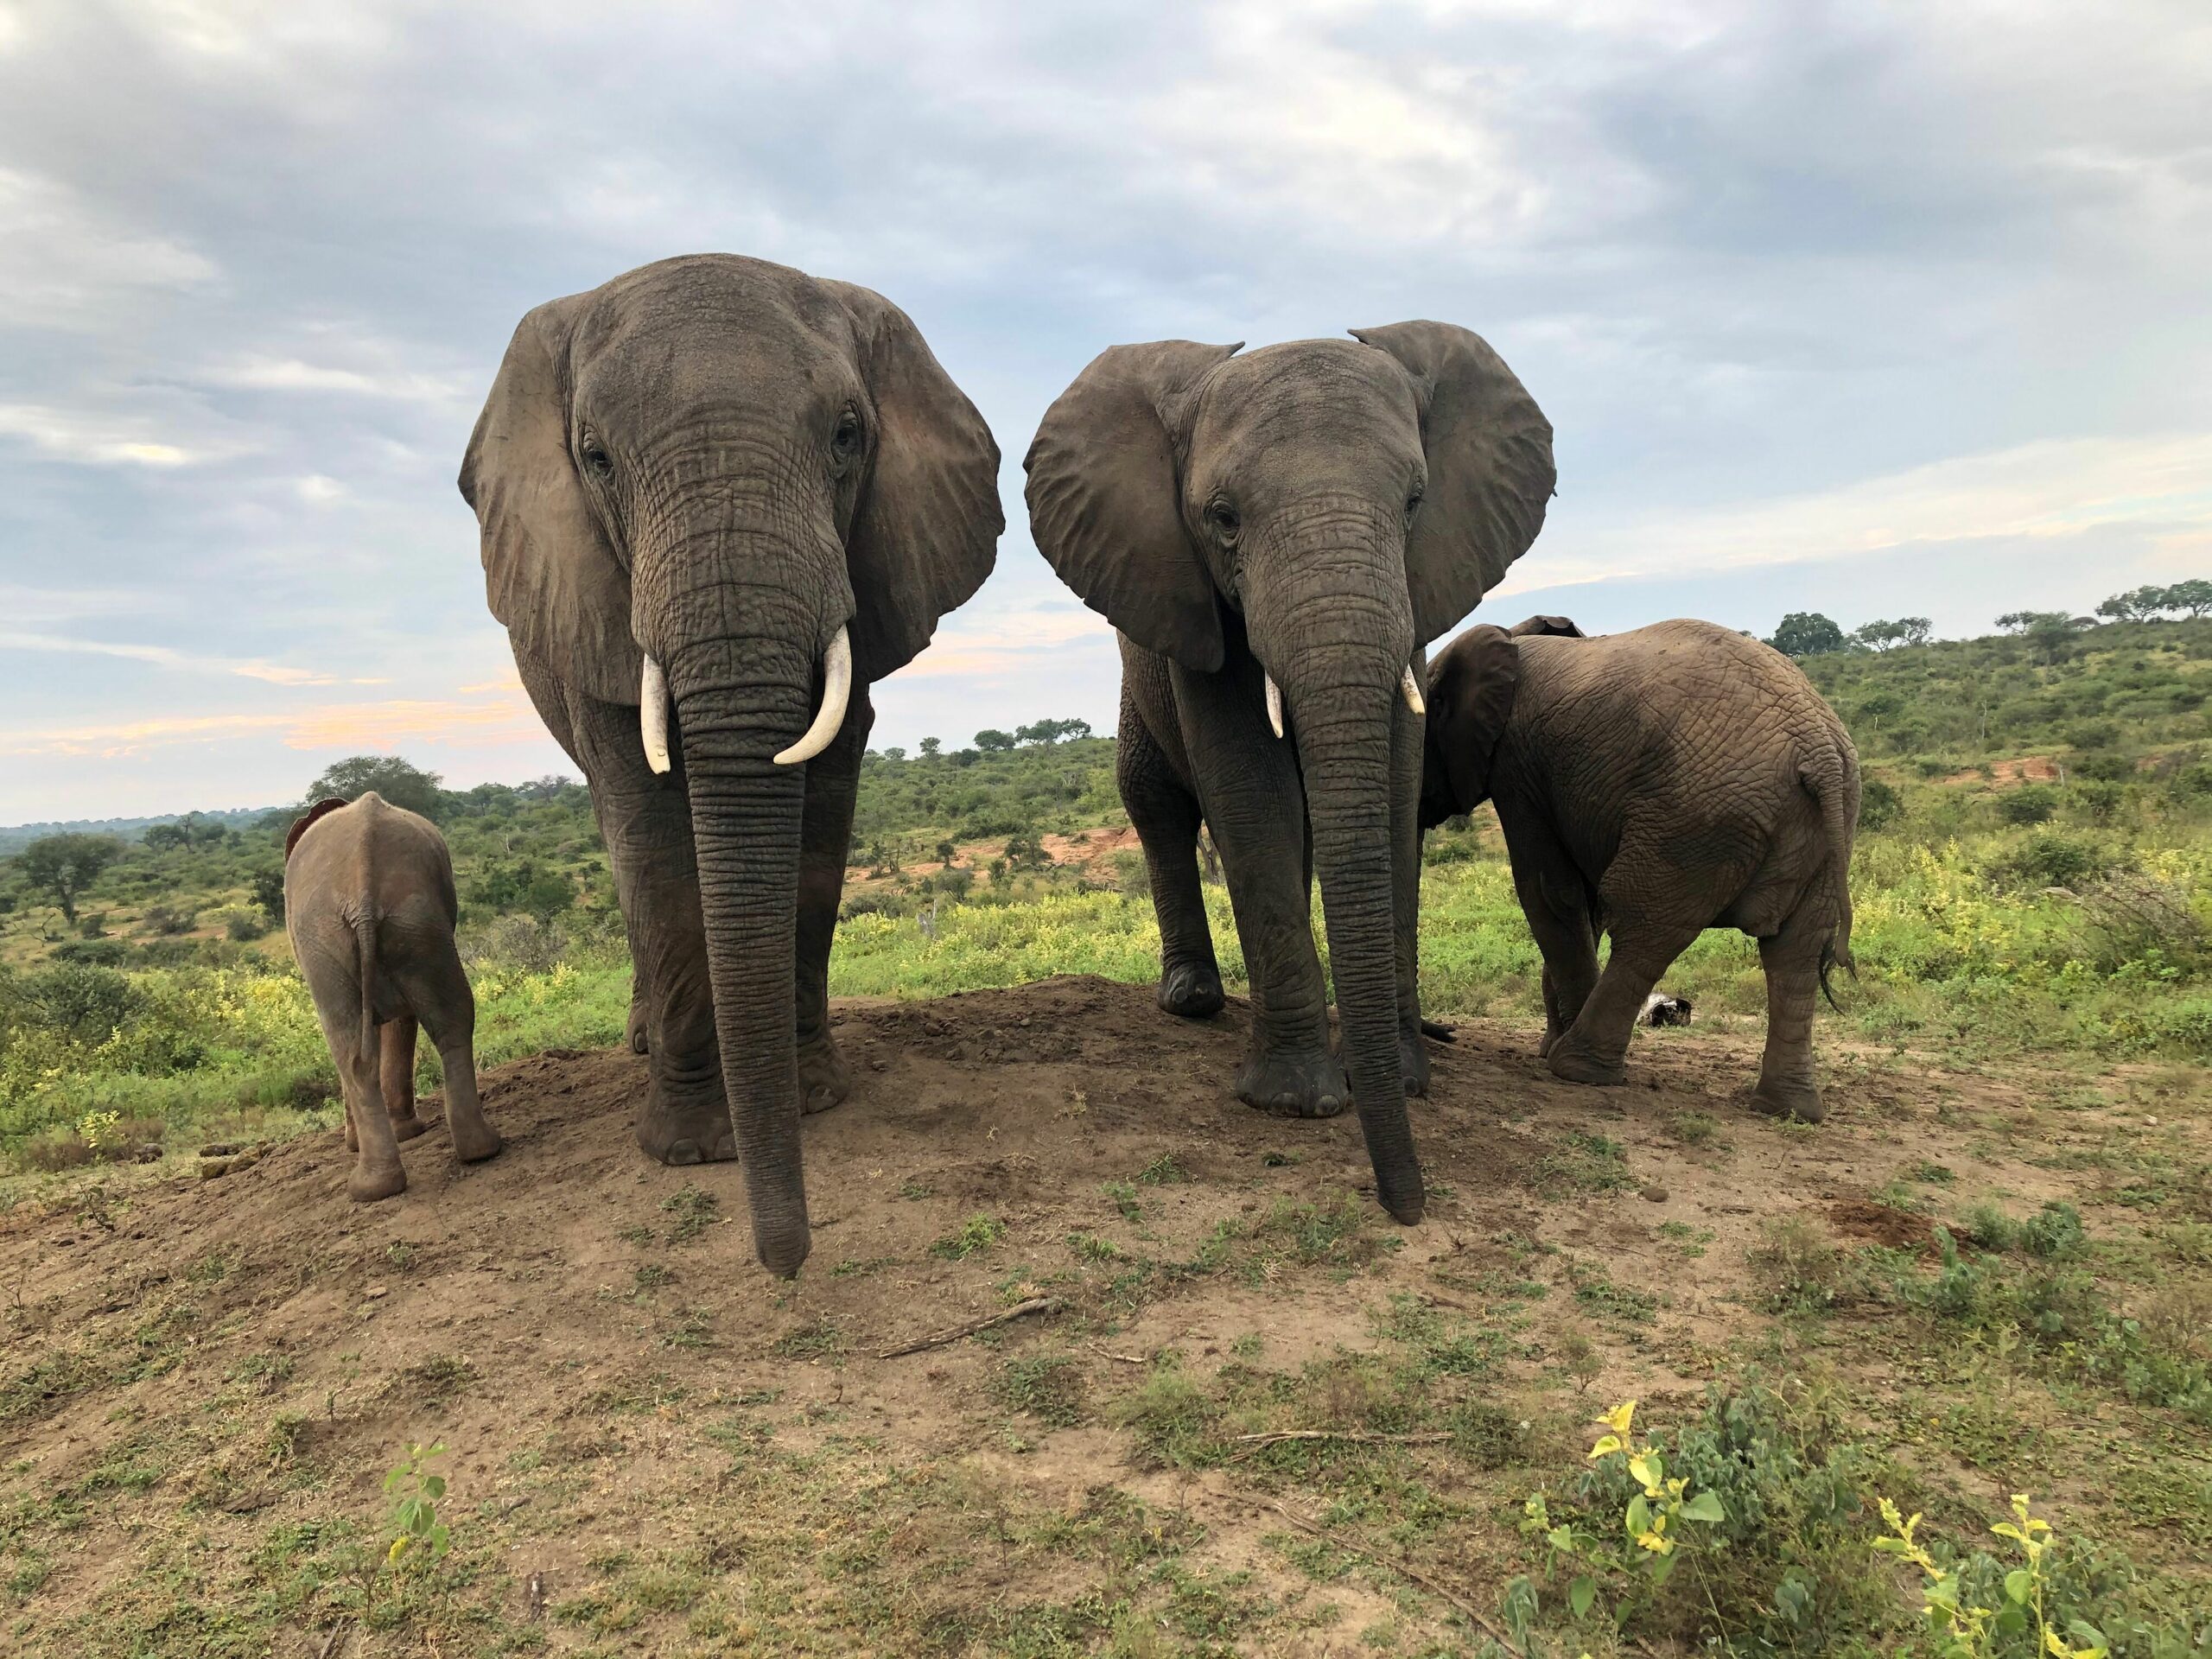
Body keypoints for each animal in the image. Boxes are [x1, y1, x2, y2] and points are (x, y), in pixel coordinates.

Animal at [460, 255, 999, 1275]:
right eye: (595, 458)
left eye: (846, 435)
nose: (786, 1262)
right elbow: (652, 848)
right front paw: (690, 1150)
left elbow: (821, 822)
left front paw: (812, 1096)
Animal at [1025, 325, 1555, 1224]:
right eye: (1223, 520)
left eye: (1414, 502)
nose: (1408, 1209)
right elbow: (1249, 790)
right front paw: (1299, 1102)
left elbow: (1392, 786)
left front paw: (1406, 1080)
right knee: (1155, 803)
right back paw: (1194, 1000)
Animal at [1419, 616, 1861, 1121]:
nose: (1447, 1033)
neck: (1510, 638)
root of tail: (1821, 753)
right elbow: (1583, 905)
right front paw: (1548, 1043)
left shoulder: (1518, 768)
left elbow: (1551, 893)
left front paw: (1550, 1051)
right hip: (1826, 827)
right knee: (1796, 951)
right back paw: (1789, 1110)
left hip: (1695, 821)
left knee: (1646, 925)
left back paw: (1575, 1068)